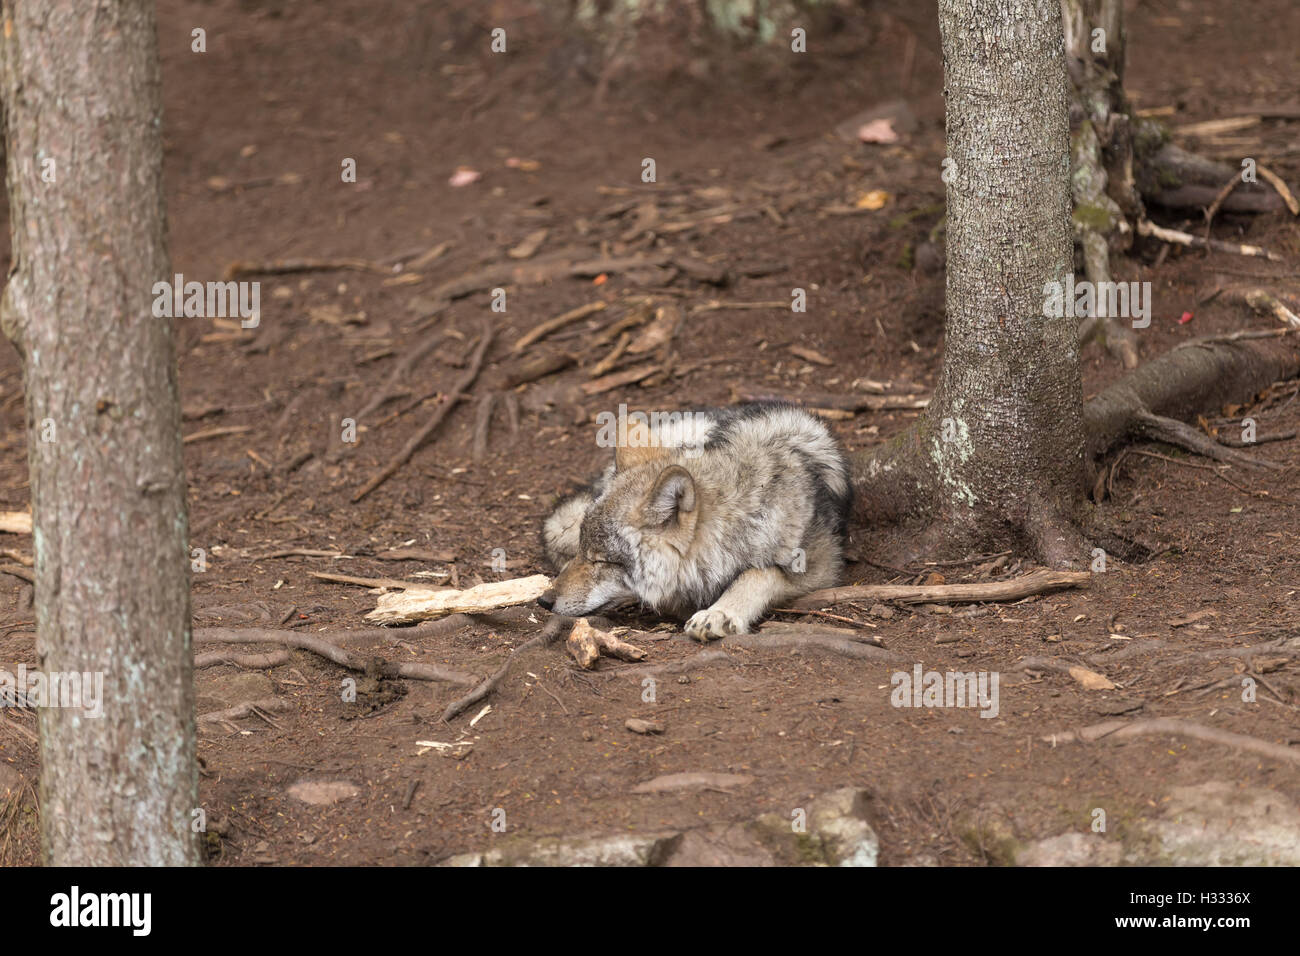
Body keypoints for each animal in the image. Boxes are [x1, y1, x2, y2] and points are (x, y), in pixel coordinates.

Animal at [538, 402, 852, 641]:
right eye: (583, 551)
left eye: (602, 561)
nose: (544, 600)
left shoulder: (821, 569)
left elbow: (758, 574)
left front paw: (720, 612)